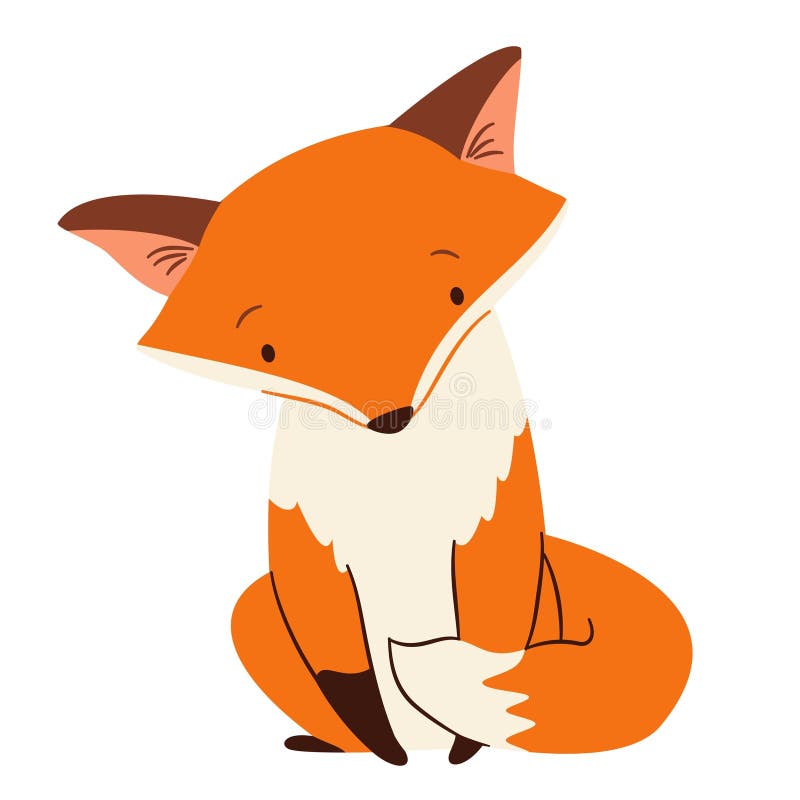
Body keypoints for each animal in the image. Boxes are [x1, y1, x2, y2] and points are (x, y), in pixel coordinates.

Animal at [58, 47, 691, 765]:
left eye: (454, 293)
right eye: (270, 351)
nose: (390, 419)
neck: (399, 487)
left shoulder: (499, 524)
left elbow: (491, 640)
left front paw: (465, 751)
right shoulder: (305, 548)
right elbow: (347, 673)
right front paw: (386, 741)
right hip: (253, 609)